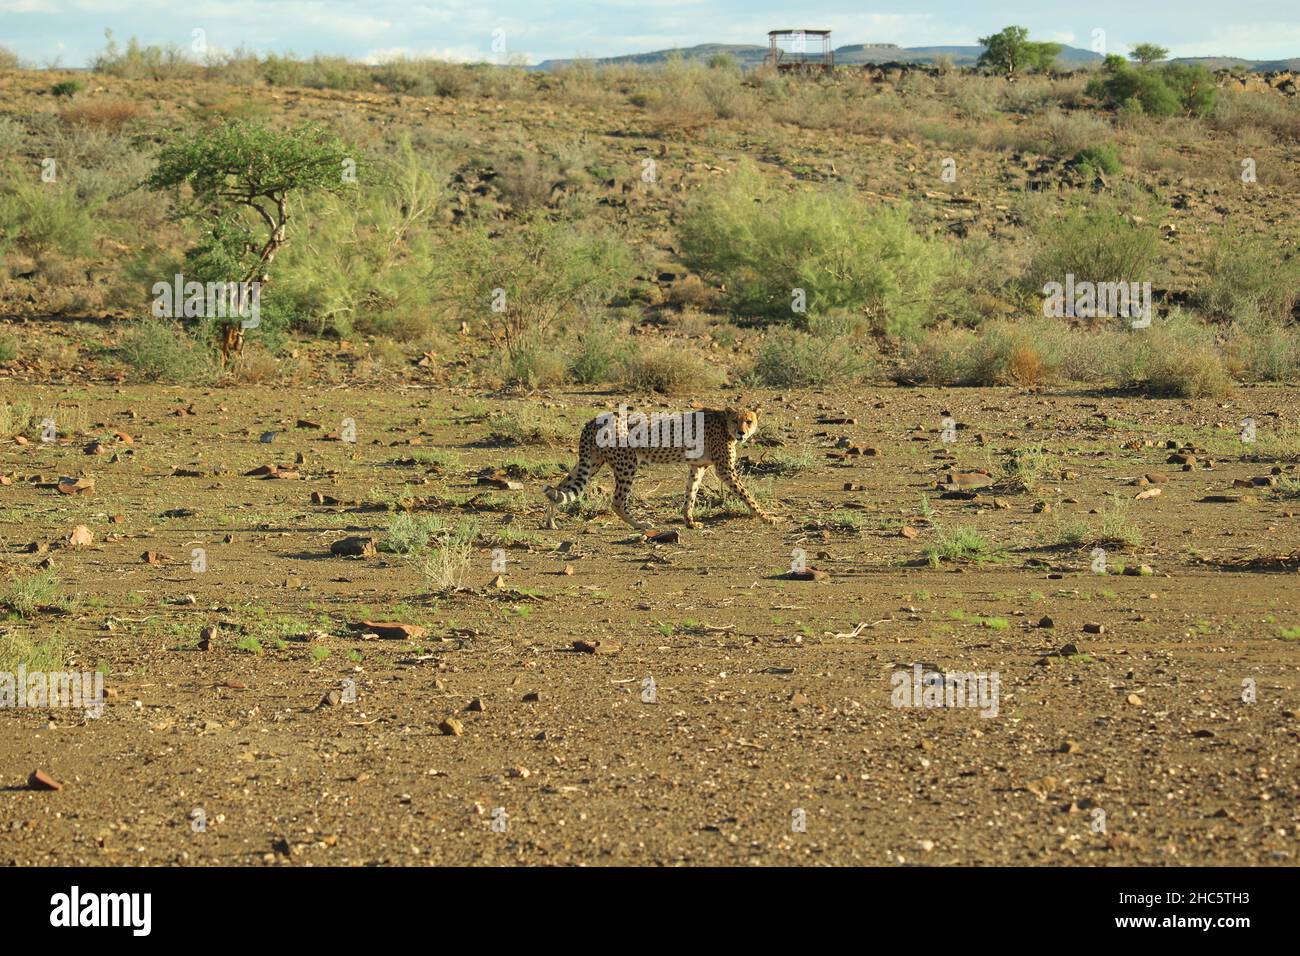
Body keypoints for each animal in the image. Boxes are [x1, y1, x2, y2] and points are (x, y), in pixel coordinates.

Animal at [543, 406, 779, 530]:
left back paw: (550, 522)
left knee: (558, 488)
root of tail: (595, 419)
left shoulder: (698, 466)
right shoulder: (725, 469)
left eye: (749, 421)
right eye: (736, 420)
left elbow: (691, 493)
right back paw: (640, 525)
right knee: (617, 501)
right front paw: (766, 517)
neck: (723, 423)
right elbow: (747, 495)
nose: (741, 433)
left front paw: (689, 521)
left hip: (591, 462)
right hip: (627, 463)